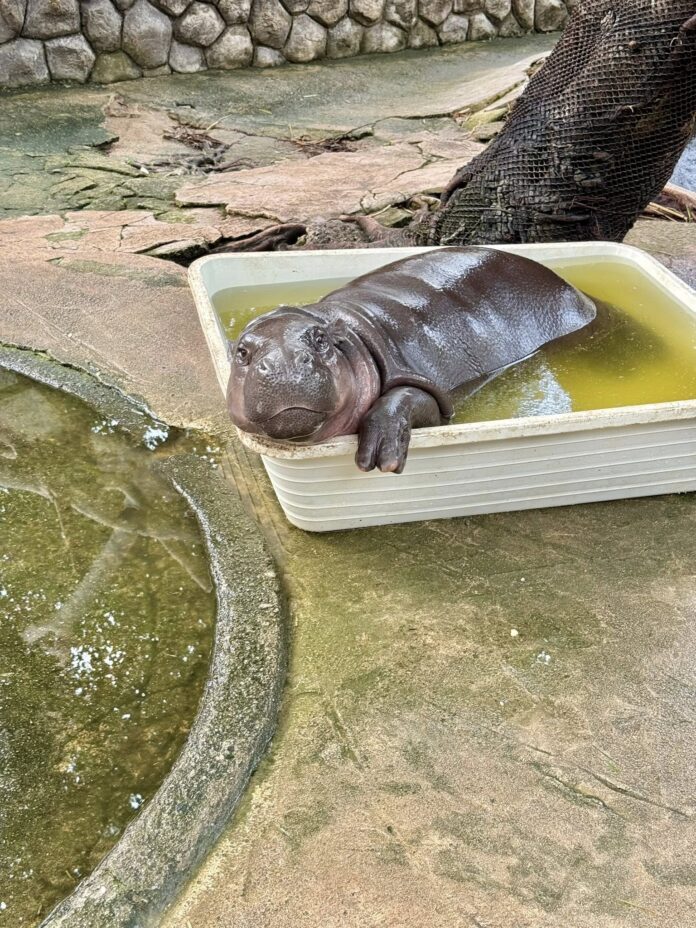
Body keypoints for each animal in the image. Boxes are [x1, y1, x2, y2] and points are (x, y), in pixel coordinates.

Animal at [227, 247, 596, 473]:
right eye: (242, 352)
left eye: (321, 341)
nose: (285, 363)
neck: (343, 328)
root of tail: (581, 294)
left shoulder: (427, 387)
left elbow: (407, 396)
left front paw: (381, 456)